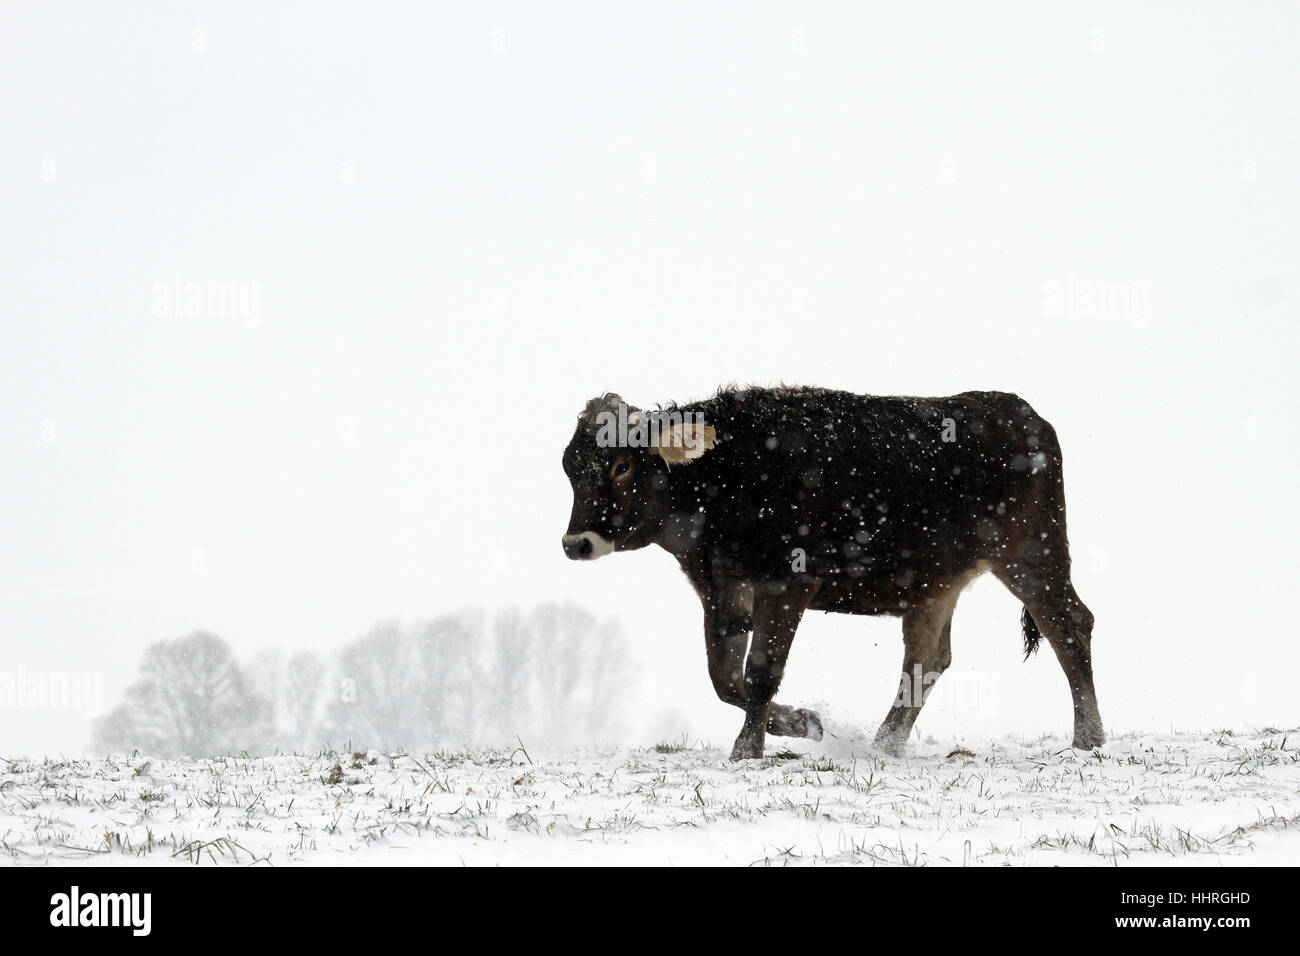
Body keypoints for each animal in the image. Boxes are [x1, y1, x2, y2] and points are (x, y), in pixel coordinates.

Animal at [561, 386, 1102, 760]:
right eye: (570, 468)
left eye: (623, 465)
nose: (575, 543)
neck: (728, 480)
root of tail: (1018, 412)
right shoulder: (719, 589)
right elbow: (724, 679)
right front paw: (801, 723)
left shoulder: (787, 583)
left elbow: (760, 672)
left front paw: (747, 750)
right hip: (935, 582)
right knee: (926, 658)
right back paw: (883, 746)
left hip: (1033, 554)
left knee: (1070, 625)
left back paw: (1088, 739)